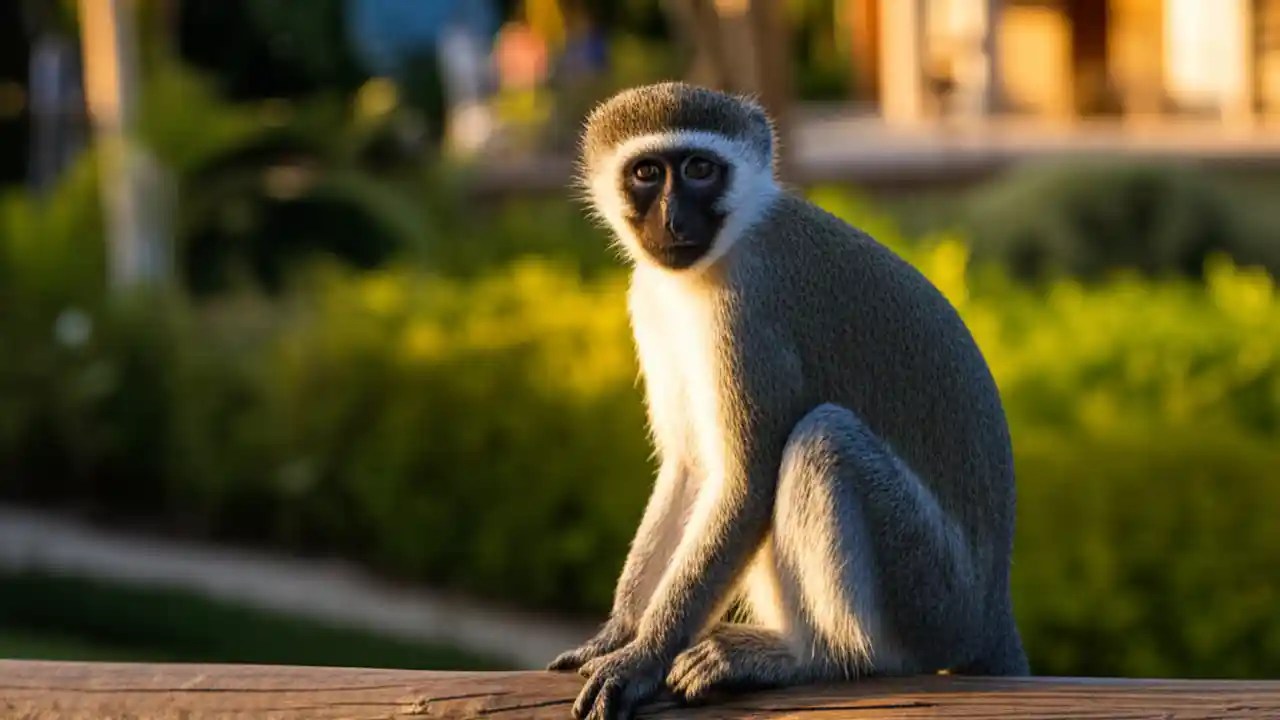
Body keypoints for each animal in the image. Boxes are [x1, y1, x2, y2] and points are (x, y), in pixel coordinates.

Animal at [547, 82, 1029, 720]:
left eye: (700, 169)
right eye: (648, 173)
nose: (673, 218)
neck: (727, 248)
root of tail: (990, 609)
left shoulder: (750, 312)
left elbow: (745, 483)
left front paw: (643, 658)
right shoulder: (648, 297)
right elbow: (692, 468)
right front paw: (620, 632)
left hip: (932, 596)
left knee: (824, 437)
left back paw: (821, 658)